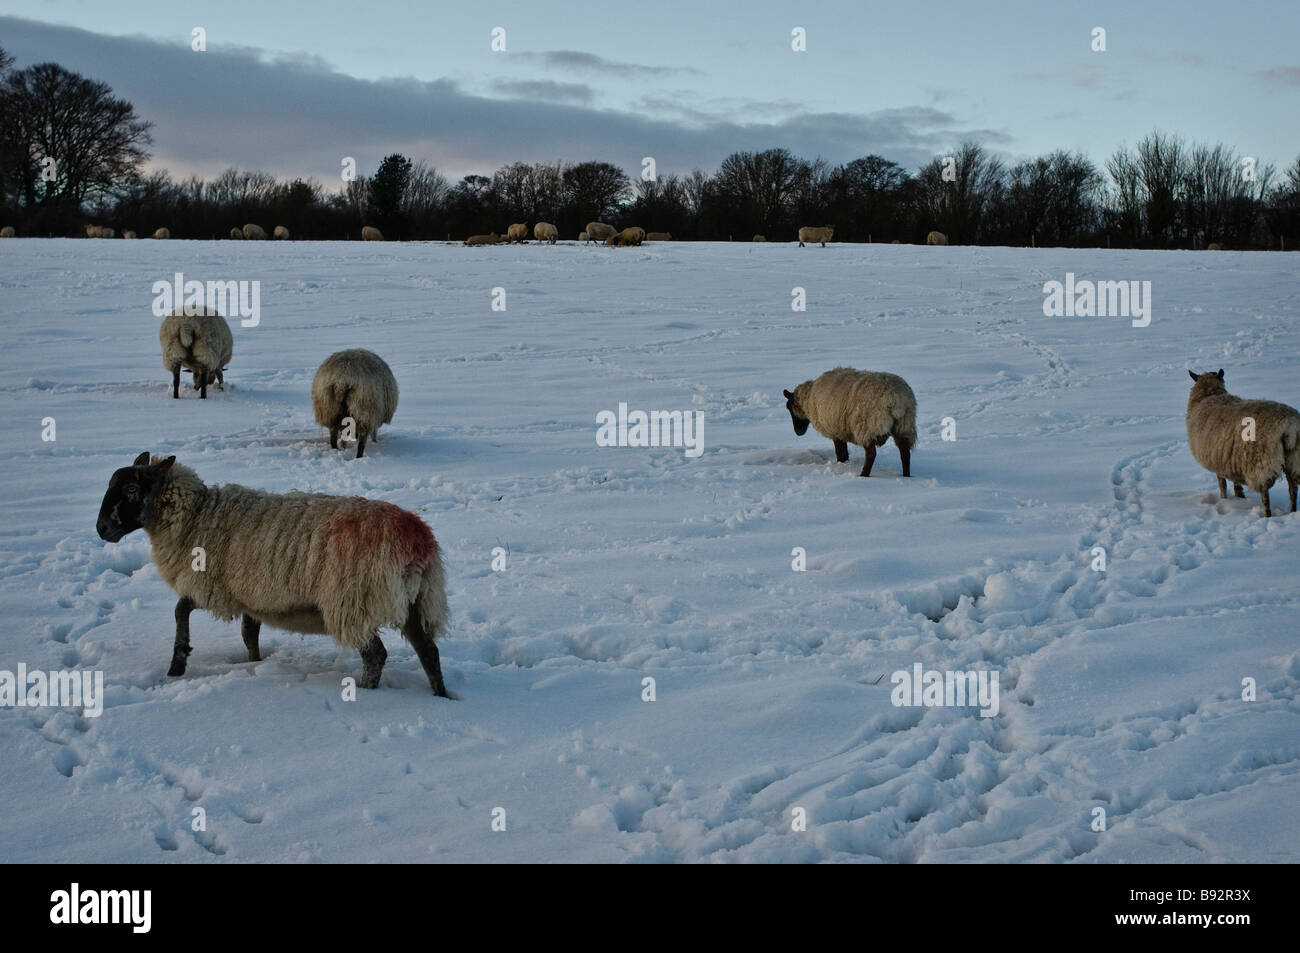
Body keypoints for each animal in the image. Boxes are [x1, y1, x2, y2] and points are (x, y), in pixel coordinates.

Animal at [95, 453, 449, 696]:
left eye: (131, 488)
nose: (101, 529)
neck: (196, 515)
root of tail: (418, 539)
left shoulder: (211, 586)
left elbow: (180, 610)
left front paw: (178, 663)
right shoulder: (250, 595)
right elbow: (249, 634)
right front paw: (254, 663)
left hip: (354, 602)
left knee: (377, 655)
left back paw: (366, 691)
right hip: (415, 602)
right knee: (429, 651)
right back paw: (441, 696)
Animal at [783, 367, 917, 478]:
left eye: (789, 407)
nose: (798, 432)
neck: (809, 399)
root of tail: (895, 397)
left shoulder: (834, 430)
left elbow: (839, 451)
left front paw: (840, 464)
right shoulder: (841, 430)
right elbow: (844, 452)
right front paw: (845, 463)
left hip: (867, 426)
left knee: (871, 454)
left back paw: (863, 475)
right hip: (904, 426)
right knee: (905, 453)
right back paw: (906, 476)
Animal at [1185, 368, 1300, 517]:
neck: (1209, 395)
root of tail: (1288, 425)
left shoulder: (1219, 463)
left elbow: (1222, 485)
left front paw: (1224, 500)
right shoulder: (1230, 461)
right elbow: (1236, 486)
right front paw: (1239, 500)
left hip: (1260, 463)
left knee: (1265, 495)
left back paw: (1267, 516)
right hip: (1294, 459)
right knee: (1293, 490)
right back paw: (1292, 511)